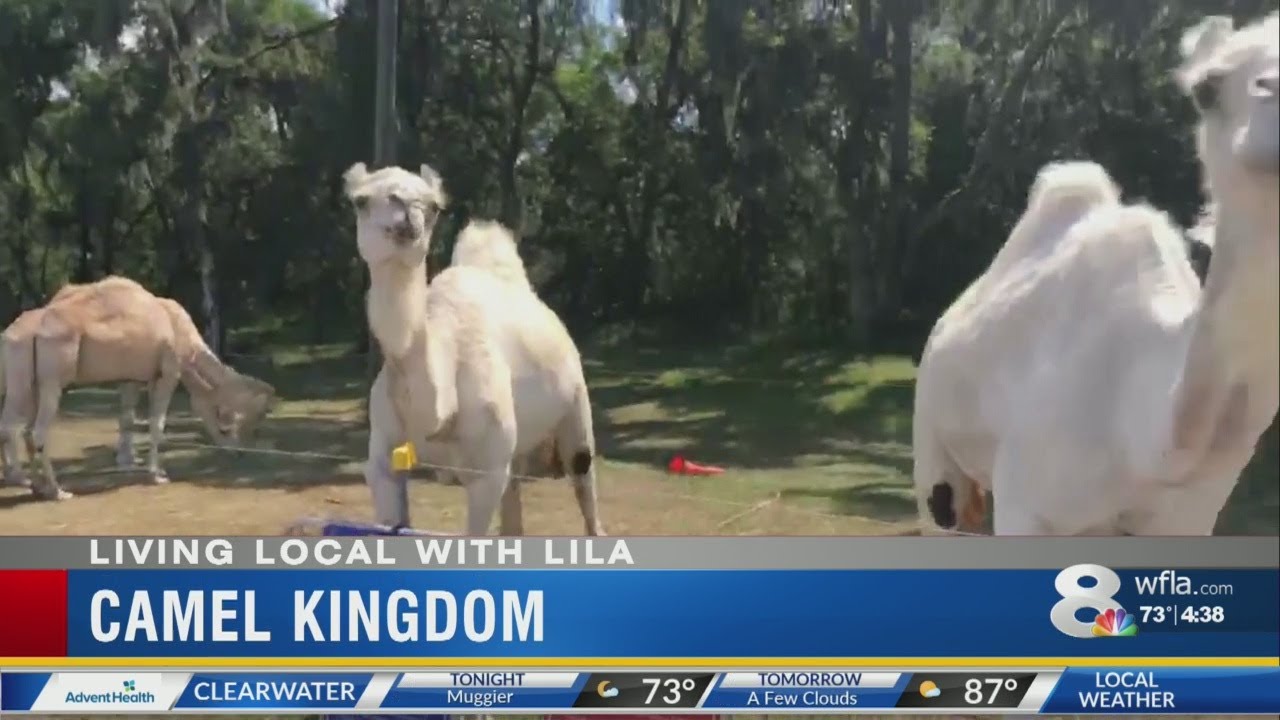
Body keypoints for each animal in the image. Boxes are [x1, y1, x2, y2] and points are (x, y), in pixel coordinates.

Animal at [0, 276, 277, 499]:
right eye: (229, 423)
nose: (240, 452)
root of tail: (13, 334)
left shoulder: (131, 377)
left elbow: (127, 419)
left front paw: (128, 461)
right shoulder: (167, 372)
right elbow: (157, 424)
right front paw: (157, 475)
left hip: (28, 381)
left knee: (23, 429)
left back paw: (38, 486)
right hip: (50, 381)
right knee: (29, 429)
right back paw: (54, 490)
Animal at [346, 162, 604, 536]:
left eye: (434, 206)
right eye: (360, 201)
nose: (407, 210)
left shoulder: (487, 474)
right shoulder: (382, 461)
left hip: (575, 406)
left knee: (583, 476)